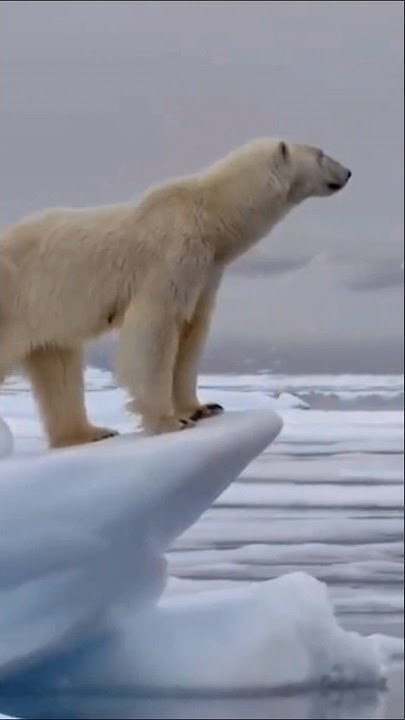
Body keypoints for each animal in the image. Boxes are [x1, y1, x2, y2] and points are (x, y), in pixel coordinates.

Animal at [0, 138, 351, 447]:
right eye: (321, 153)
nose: (347, 172)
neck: (211, 217)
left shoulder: (205, 269)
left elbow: (191, 331)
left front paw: (202, 408)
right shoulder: (172, 256)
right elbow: (156, 329)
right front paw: (169, 421)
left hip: (44, 315)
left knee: (59, 368)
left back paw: (90, 432)